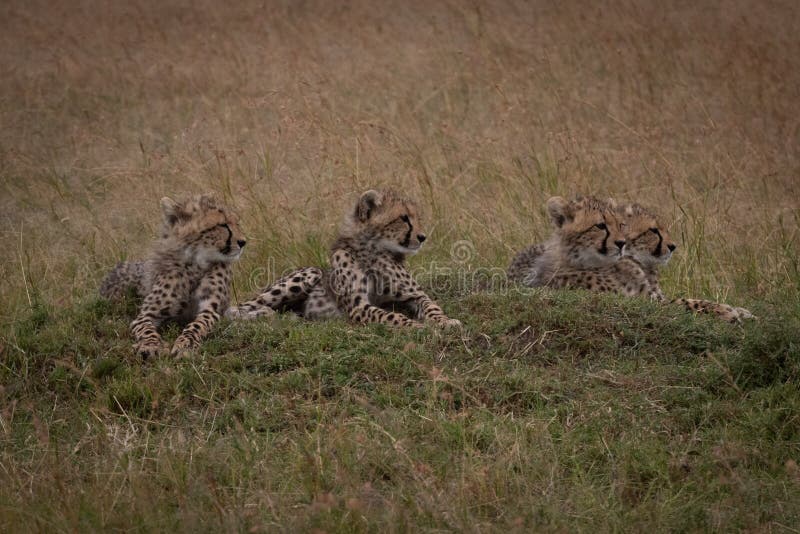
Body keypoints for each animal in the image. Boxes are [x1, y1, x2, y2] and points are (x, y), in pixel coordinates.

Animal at [100, 193, 246, 358]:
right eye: (222, 225)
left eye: (237, 223)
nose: (243, 242)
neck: (196, 262)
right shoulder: (146, 313)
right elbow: (146, 329)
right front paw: (150, 345)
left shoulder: (211, 309)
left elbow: (198, 324)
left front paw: (187, 344)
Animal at [226, 188, 461, 329]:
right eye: (403, 218)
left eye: (416, 217)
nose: (422, 237)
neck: (375, 251)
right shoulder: (359, 307)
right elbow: (391, 316)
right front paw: (416, 326)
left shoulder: (416, 295)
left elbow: (432, 307)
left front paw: (446, 321)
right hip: (308, 273)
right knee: (238, 307)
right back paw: (261, 314)